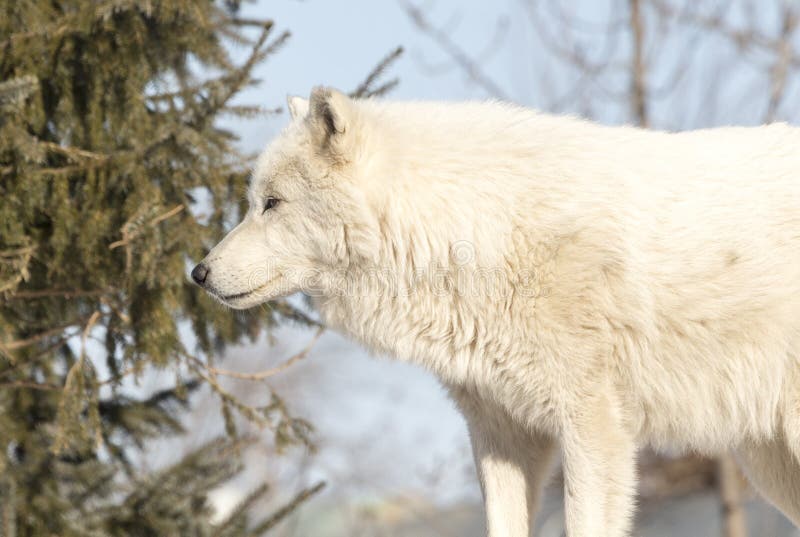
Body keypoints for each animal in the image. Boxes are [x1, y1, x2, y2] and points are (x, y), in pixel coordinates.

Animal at [192, 87, 800, 536]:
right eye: (254, 203)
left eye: (272, 204)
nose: (198, 272)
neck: (473, 238)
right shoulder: (503, 434)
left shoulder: (593, 426)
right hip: (769, 462)